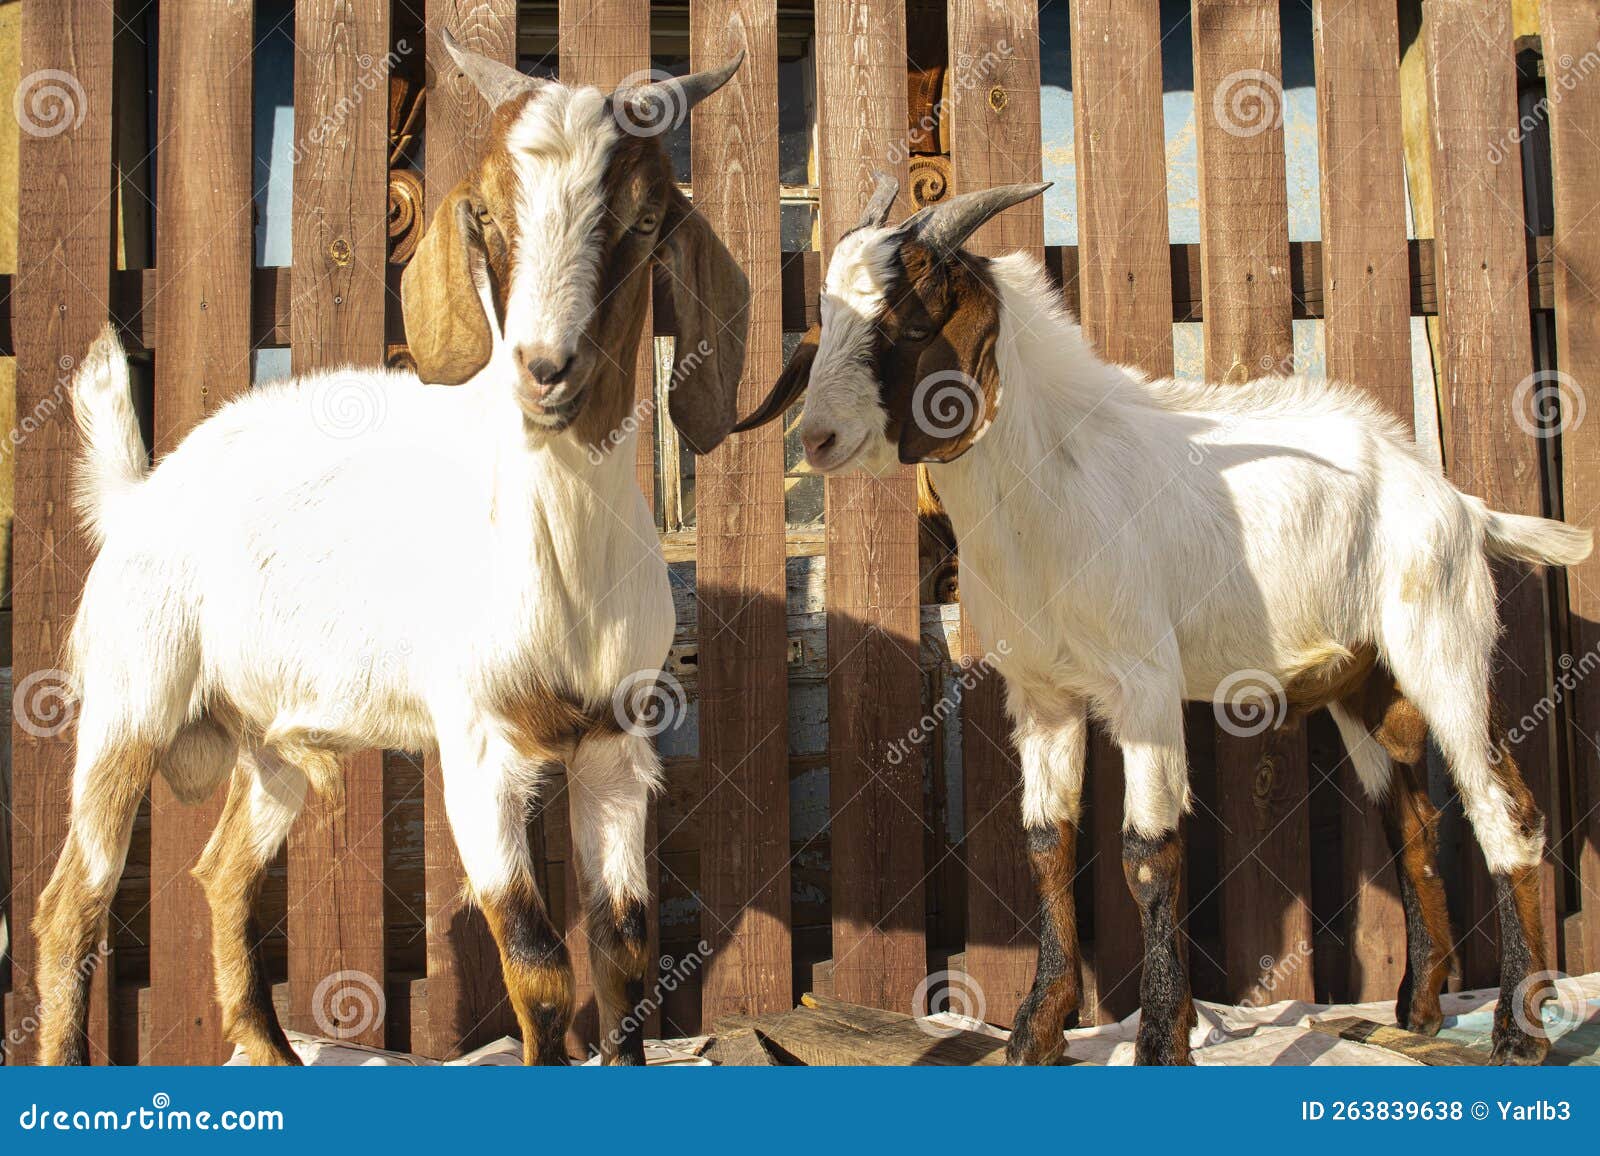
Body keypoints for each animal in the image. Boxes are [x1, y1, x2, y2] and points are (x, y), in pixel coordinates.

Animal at [32, 32, 750, 1067]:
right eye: (487, 212)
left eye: (647, 219)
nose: (546, 371)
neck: (560, 551)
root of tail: (139, 497)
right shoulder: (479, 740)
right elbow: (538, 964)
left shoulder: (615, 747)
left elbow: (623, 950)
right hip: (131, 696)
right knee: (70, 905)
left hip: (273, 739)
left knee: (221, 873)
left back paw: (273, 1052)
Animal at [737, 173, 1593, 1066]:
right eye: (825, 319)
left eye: (905, 321)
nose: (818, 436)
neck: (1045, 483)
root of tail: (1456, 500)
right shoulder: (1042, 694)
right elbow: (1046, 842)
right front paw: (1036, 1031)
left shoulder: (1143, 683)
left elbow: (1148, 854)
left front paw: (1159, 1038)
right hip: (1367, 686)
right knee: (1413, 822)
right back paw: (1418, 1010)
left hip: (1443, 651)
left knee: (1506, 810)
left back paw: (1518, 1031)